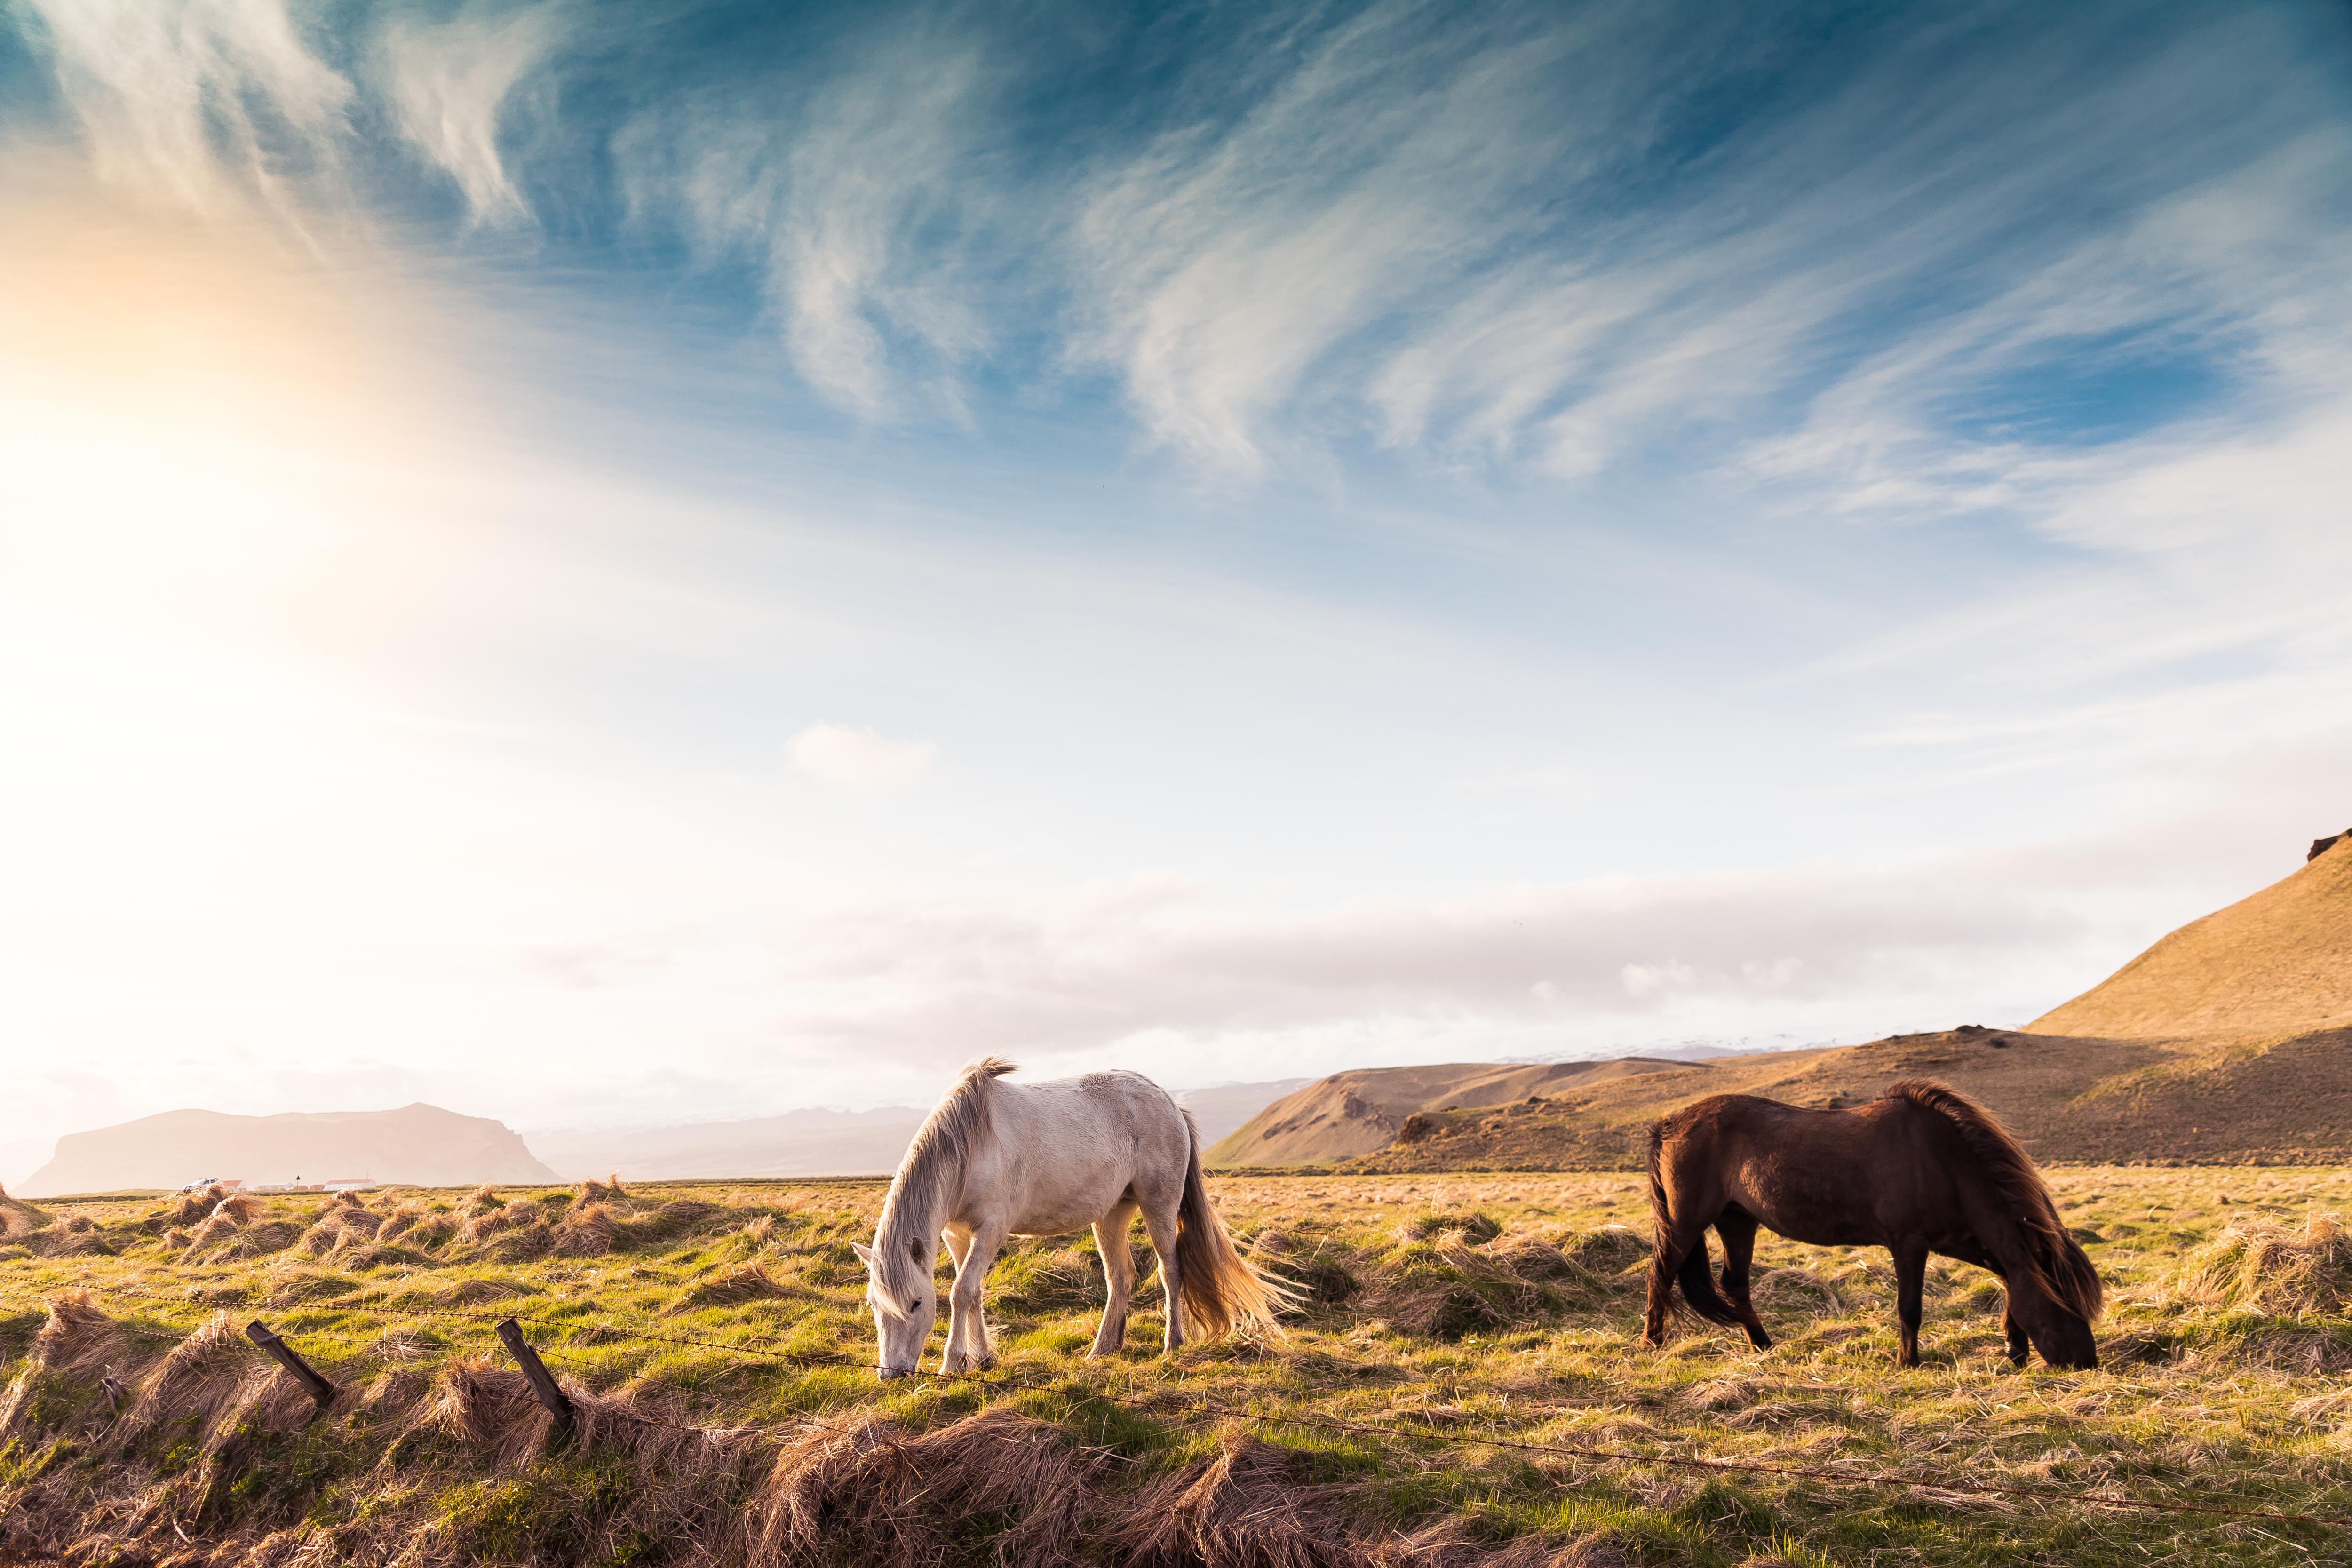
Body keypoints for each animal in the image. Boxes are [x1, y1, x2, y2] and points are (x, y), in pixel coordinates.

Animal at [853, 1056, 1295, 1377]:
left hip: (1160, 1204)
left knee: (1171, 1270)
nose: (891, 1374)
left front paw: (952, 1363)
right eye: (874, 1304)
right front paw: (981, 1358)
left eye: (915, 1303)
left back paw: (1172, 1345)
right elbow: (972, 1292)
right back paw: (1102, 1349)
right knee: (1121, 1276)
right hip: (1113, 1215)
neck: (970, 1144)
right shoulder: (957, 1235)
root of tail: (1170, 1102)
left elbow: (960, 1292)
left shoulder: (991, 1230)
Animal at [1642, 1079, 2102, 1369]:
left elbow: (2009, 1278)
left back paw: (1764, 1346)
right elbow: (1910, 1307)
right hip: (1686, 1223)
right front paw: (1908, 1362)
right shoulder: (1910, 1243)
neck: (1944, 1162)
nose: (2087, 1362)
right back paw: (1652, 1344)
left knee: (1735, 1285)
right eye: (2066, 1300)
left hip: (1738, 1221)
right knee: (1661, 1275)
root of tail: (1668, 1124)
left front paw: (2014, 1345)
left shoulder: (1961, 1240)